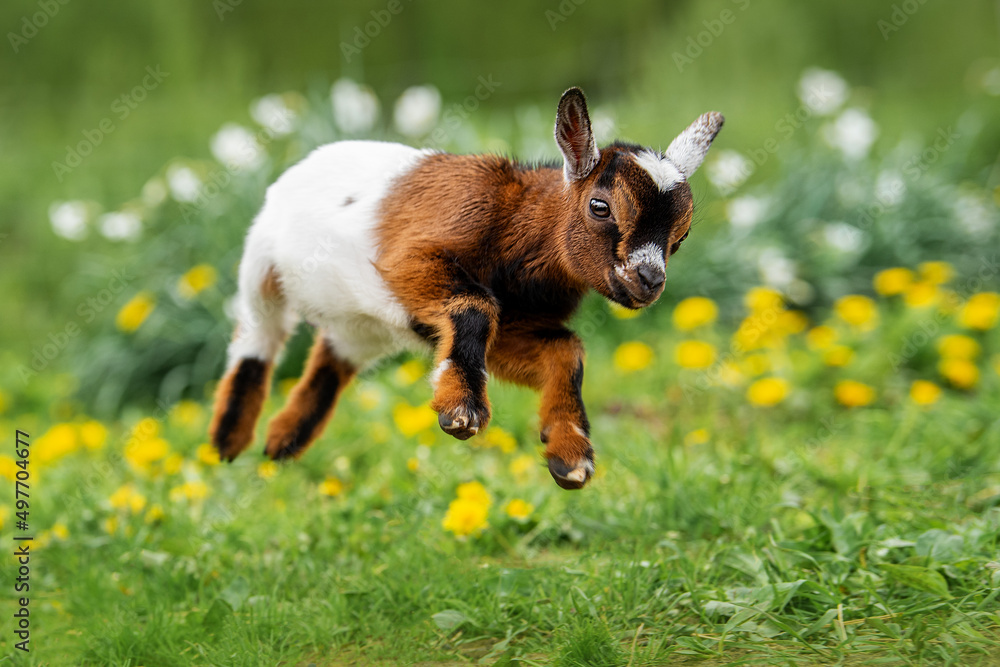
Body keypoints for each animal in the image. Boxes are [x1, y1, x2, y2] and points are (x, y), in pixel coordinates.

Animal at [209, 87, 723, 490]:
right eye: (601, 206)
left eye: (681, 237)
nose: (649, 282)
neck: (515, 218)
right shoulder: (409, 262)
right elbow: (476, 305)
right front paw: (461, 412)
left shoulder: (516, 326)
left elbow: (566, 350)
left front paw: (570, 459)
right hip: (259, 267)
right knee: (257, 340)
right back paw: (228, 441)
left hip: (359, 327)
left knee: (330, 358)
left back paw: (283, 440)